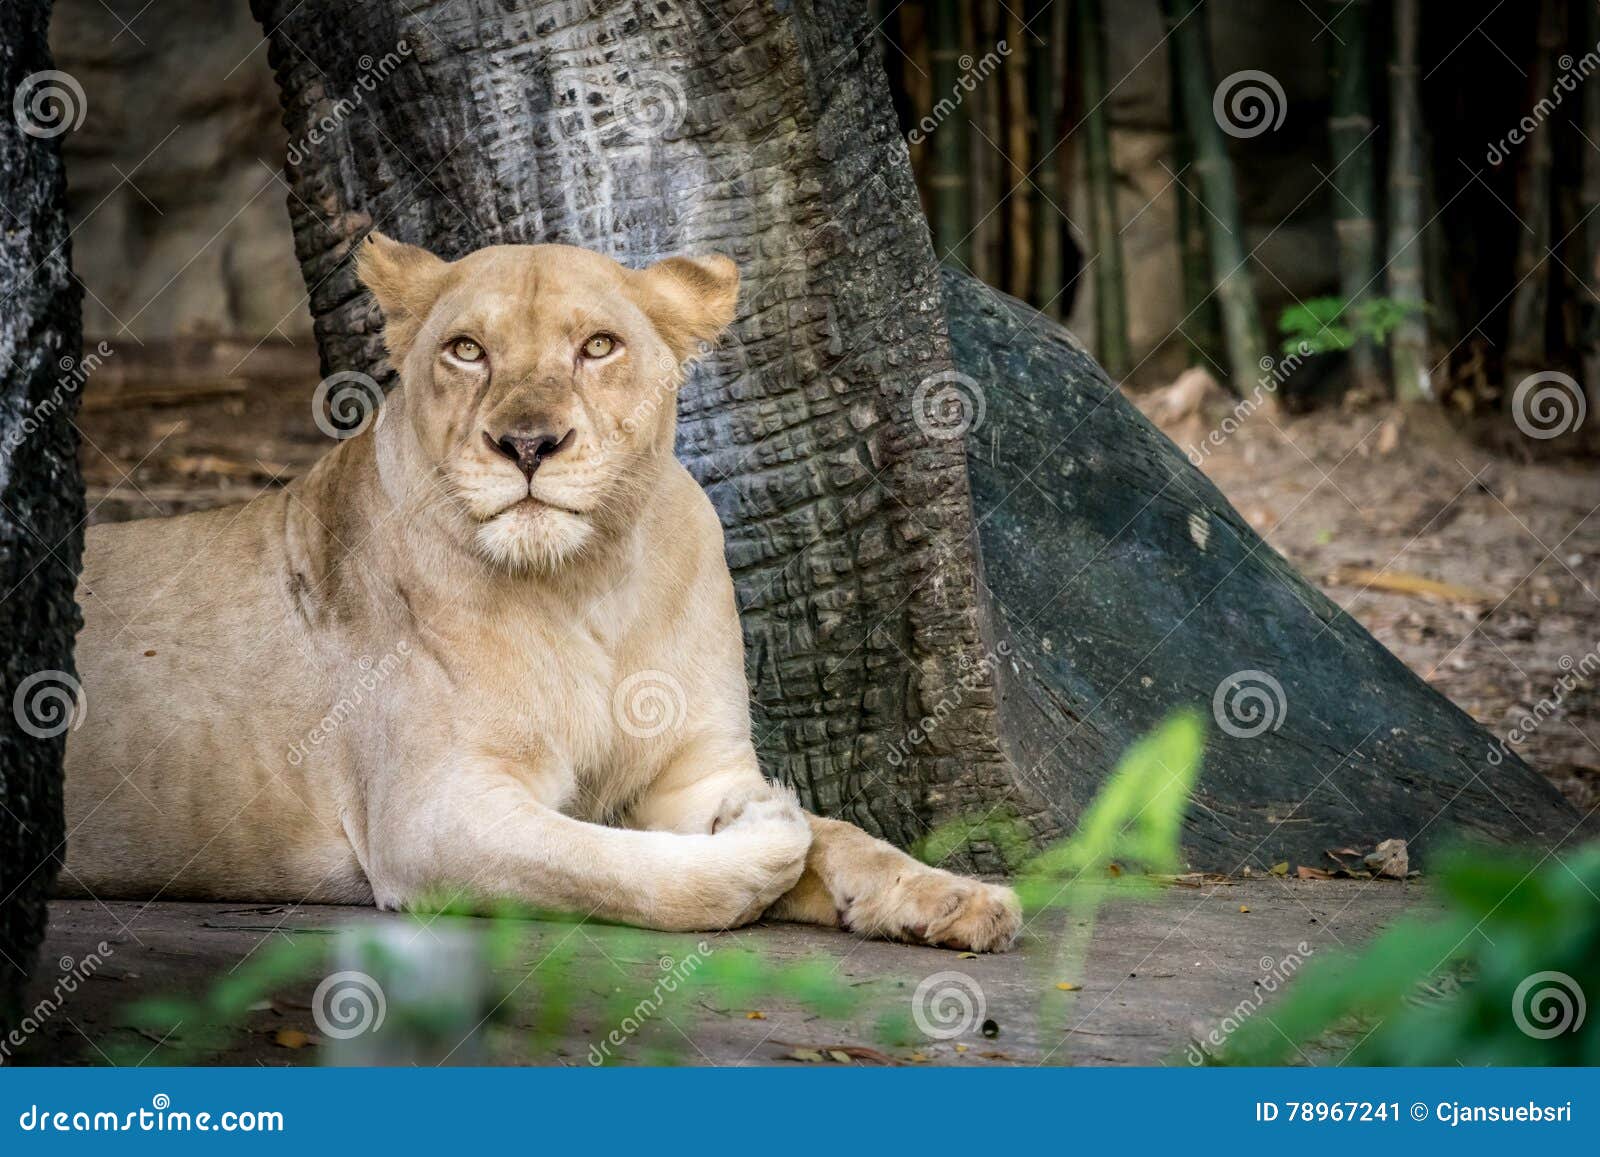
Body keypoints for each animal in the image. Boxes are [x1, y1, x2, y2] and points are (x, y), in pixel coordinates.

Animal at [60, 235, 1021, 953]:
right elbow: (618, 866)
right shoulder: (434, 814)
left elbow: (848, 835)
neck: (587, 584)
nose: (527, 444)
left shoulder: (695, 769)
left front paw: (956, 895)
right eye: (466, 349)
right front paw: (766, 838)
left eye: (597, 346)